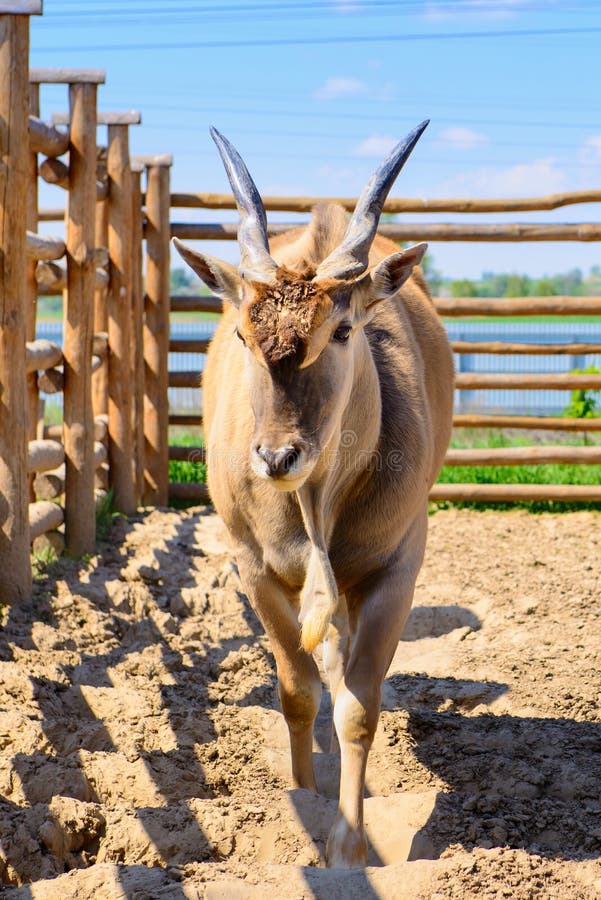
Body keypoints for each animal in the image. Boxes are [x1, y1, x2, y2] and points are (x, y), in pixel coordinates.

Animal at [174, 121, 454, 868]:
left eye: (343, 329)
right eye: (243, 334)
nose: (277, 457)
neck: (317, 504)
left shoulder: (396, 570)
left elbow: (358, 706)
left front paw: (348, 843)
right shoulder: (254, 569)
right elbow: (296, 692)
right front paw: (299, 804)